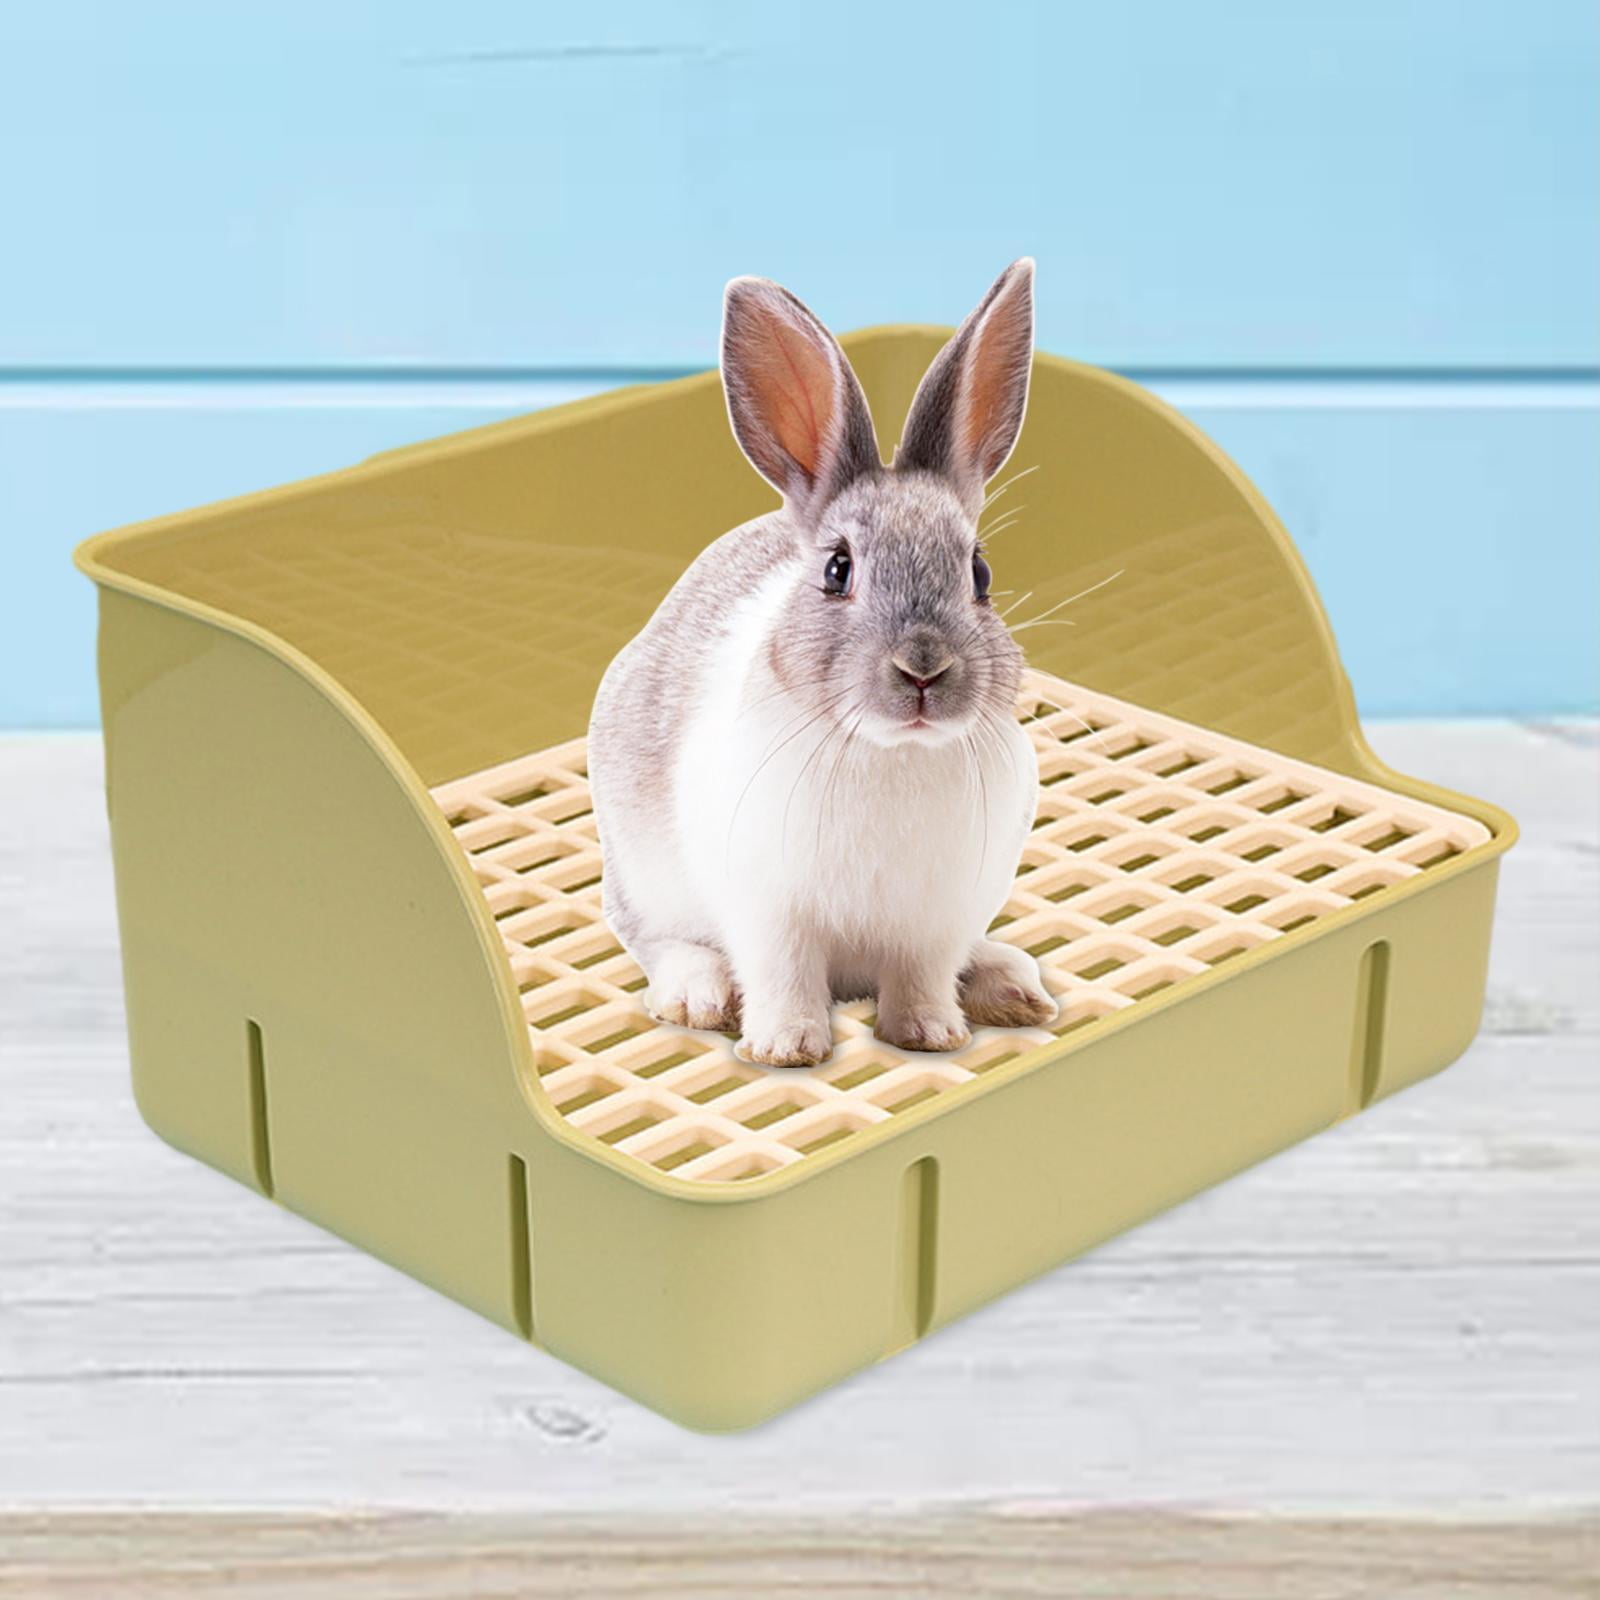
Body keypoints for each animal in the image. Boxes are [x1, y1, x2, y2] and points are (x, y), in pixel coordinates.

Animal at [587, 260, 1057, 1068]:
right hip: (643, 876)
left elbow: (922, 977)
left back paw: (1012, 986)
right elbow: (784, 975)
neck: (892, 752)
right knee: (655, 939)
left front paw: (930, 1035)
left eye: (980, 573)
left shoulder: (935, 920)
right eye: (838, 570)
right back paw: (697, 995)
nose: (923, 670)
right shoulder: (769, 912)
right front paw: (786, 1048)